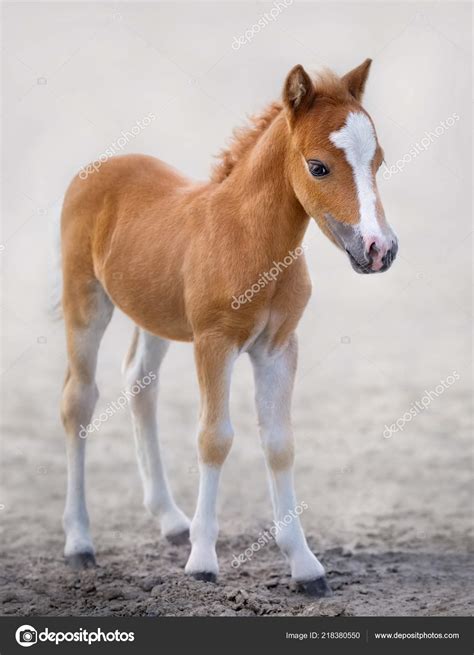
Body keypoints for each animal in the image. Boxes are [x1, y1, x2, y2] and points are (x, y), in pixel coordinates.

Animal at [58, 59, 398, 597]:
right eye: (318, 166)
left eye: (378, 161)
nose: (379, 249)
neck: (250, 242)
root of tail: (101, 166)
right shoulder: (213, 342)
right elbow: (214, 438)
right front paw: (202, 561)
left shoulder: (279, 348)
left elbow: (279, 443)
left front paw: (305, 566)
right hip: (85, 300)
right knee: (79, 400)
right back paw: (79, 543)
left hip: (153, 313)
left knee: (140, 383)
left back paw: (171, 521)